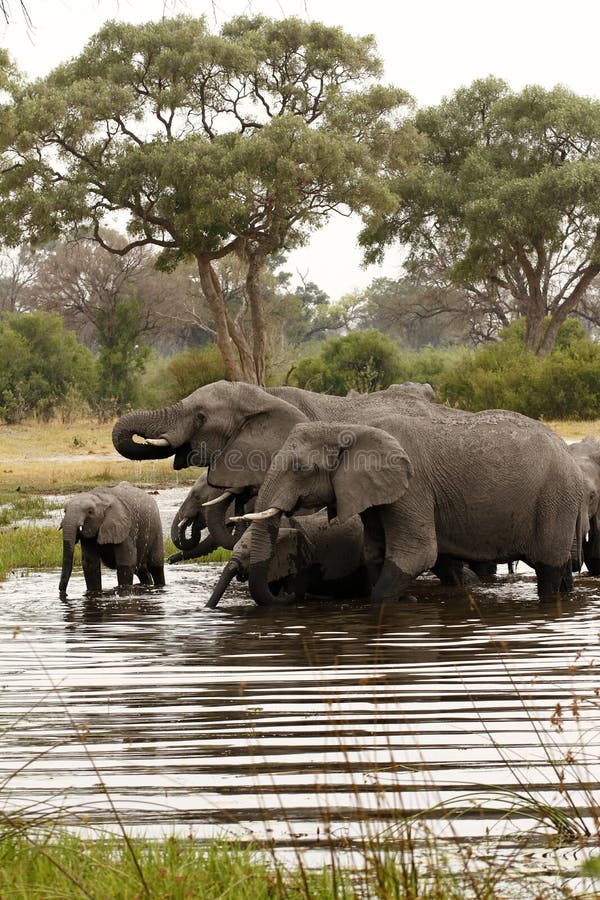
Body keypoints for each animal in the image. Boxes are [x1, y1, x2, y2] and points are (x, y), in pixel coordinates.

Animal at [238, 416, 586, 605]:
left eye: (300, 469)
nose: (286, 594)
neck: (353, 428)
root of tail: (572, 461)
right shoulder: (375, 492)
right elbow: (376, 552)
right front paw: (406, 599)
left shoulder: (413, 487)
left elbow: (416, 553)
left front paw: (396, 601)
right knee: (561, 569)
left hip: (554, 499)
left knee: (548, 569)